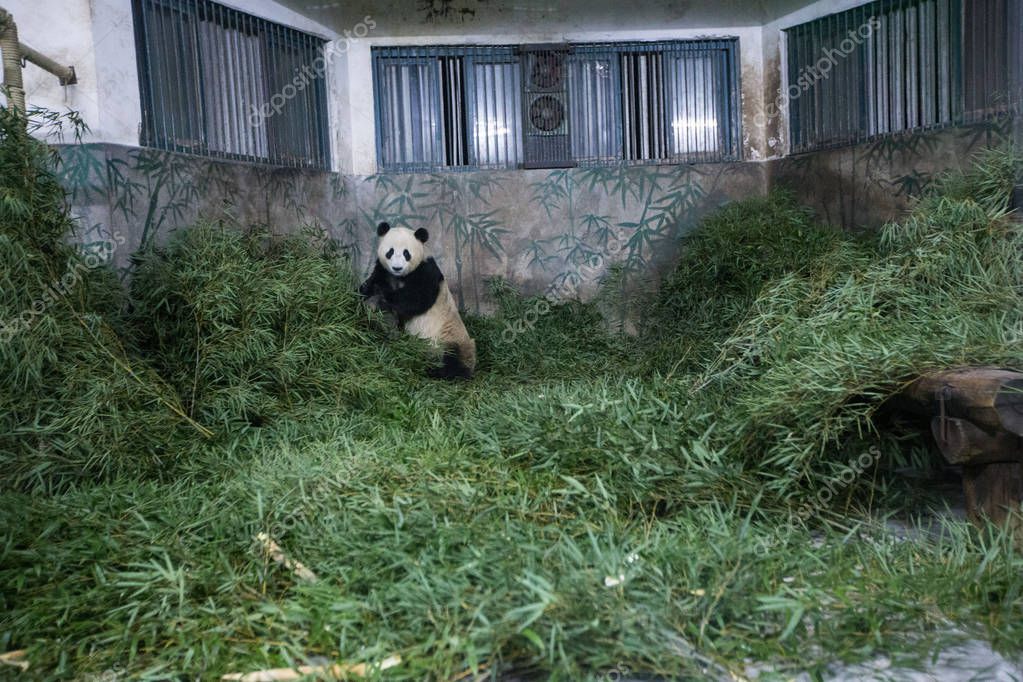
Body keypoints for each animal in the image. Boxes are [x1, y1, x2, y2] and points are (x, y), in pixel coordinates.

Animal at [359, 221, 477, 379]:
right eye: (390, 252)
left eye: (406, 253)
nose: (397, 267)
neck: (399, 277)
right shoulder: (383, 271)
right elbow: (372, 284)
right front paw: (368, 291)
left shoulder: (426, 271)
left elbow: (416, 299)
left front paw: (383, 296)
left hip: (449, 338)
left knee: (453, 357)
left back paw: (437, 371)